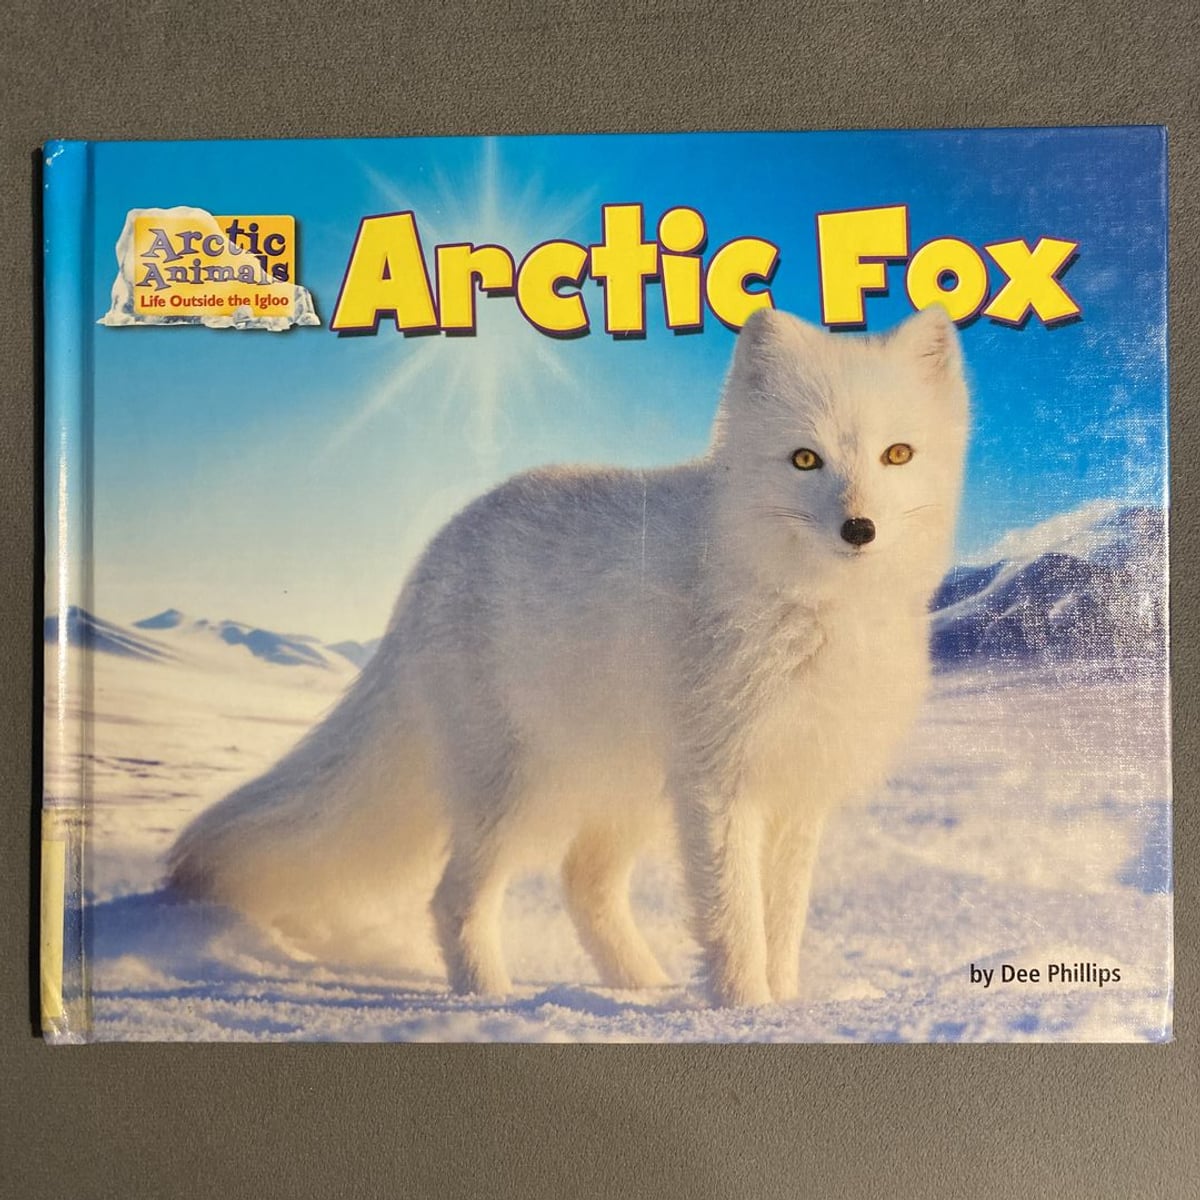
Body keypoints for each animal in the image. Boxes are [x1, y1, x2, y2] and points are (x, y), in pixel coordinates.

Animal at [168, 305, 969, 1007]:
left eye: (897, 454)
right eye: (806, 459)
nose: (859, 528)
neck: (812, 612)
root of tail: (432, 558)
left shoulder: (797, 789)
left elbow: (781, 926)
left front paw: (788, 1009)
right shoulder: (721, 785)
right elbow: (735, 923)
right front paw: (747, 1013)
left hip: (628, 787)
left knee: (582, 884)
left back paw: (642, 990)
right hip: (519, 788)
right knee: (455, 899)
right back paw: (495, 1004)